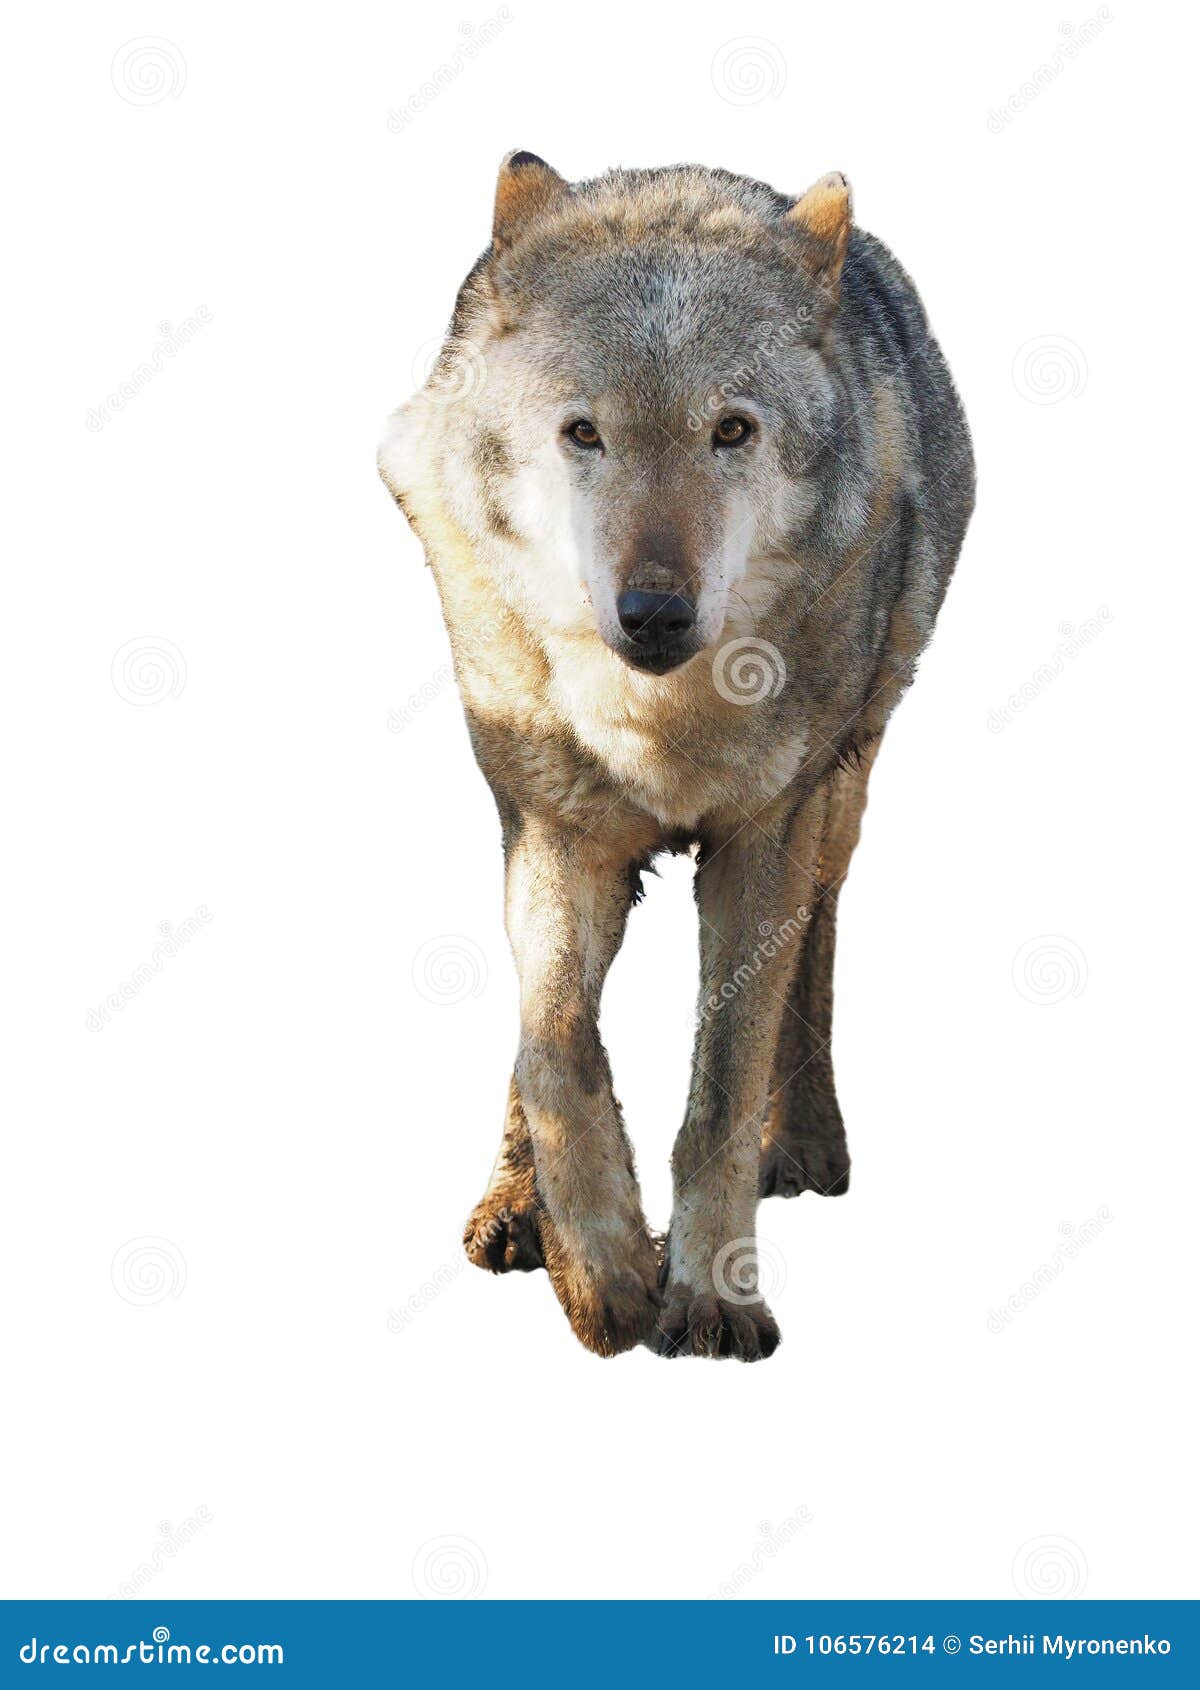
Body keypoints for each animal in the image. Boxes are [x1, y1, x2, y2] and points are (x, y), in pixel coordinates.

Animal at [379, 154, 974, 1361]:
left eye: (731, 431)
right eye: (584, 433)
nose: (654, 611)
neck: (657, 716)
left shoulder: (763, 836)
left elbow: (725, 1086)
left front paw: (711, 1296)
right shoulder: (551, 825)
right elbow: (557, 1048)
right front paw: (604, 1270)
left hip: (843, 791)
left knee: (819, 945)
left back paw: (809, 1140)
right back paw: (514, 1208)